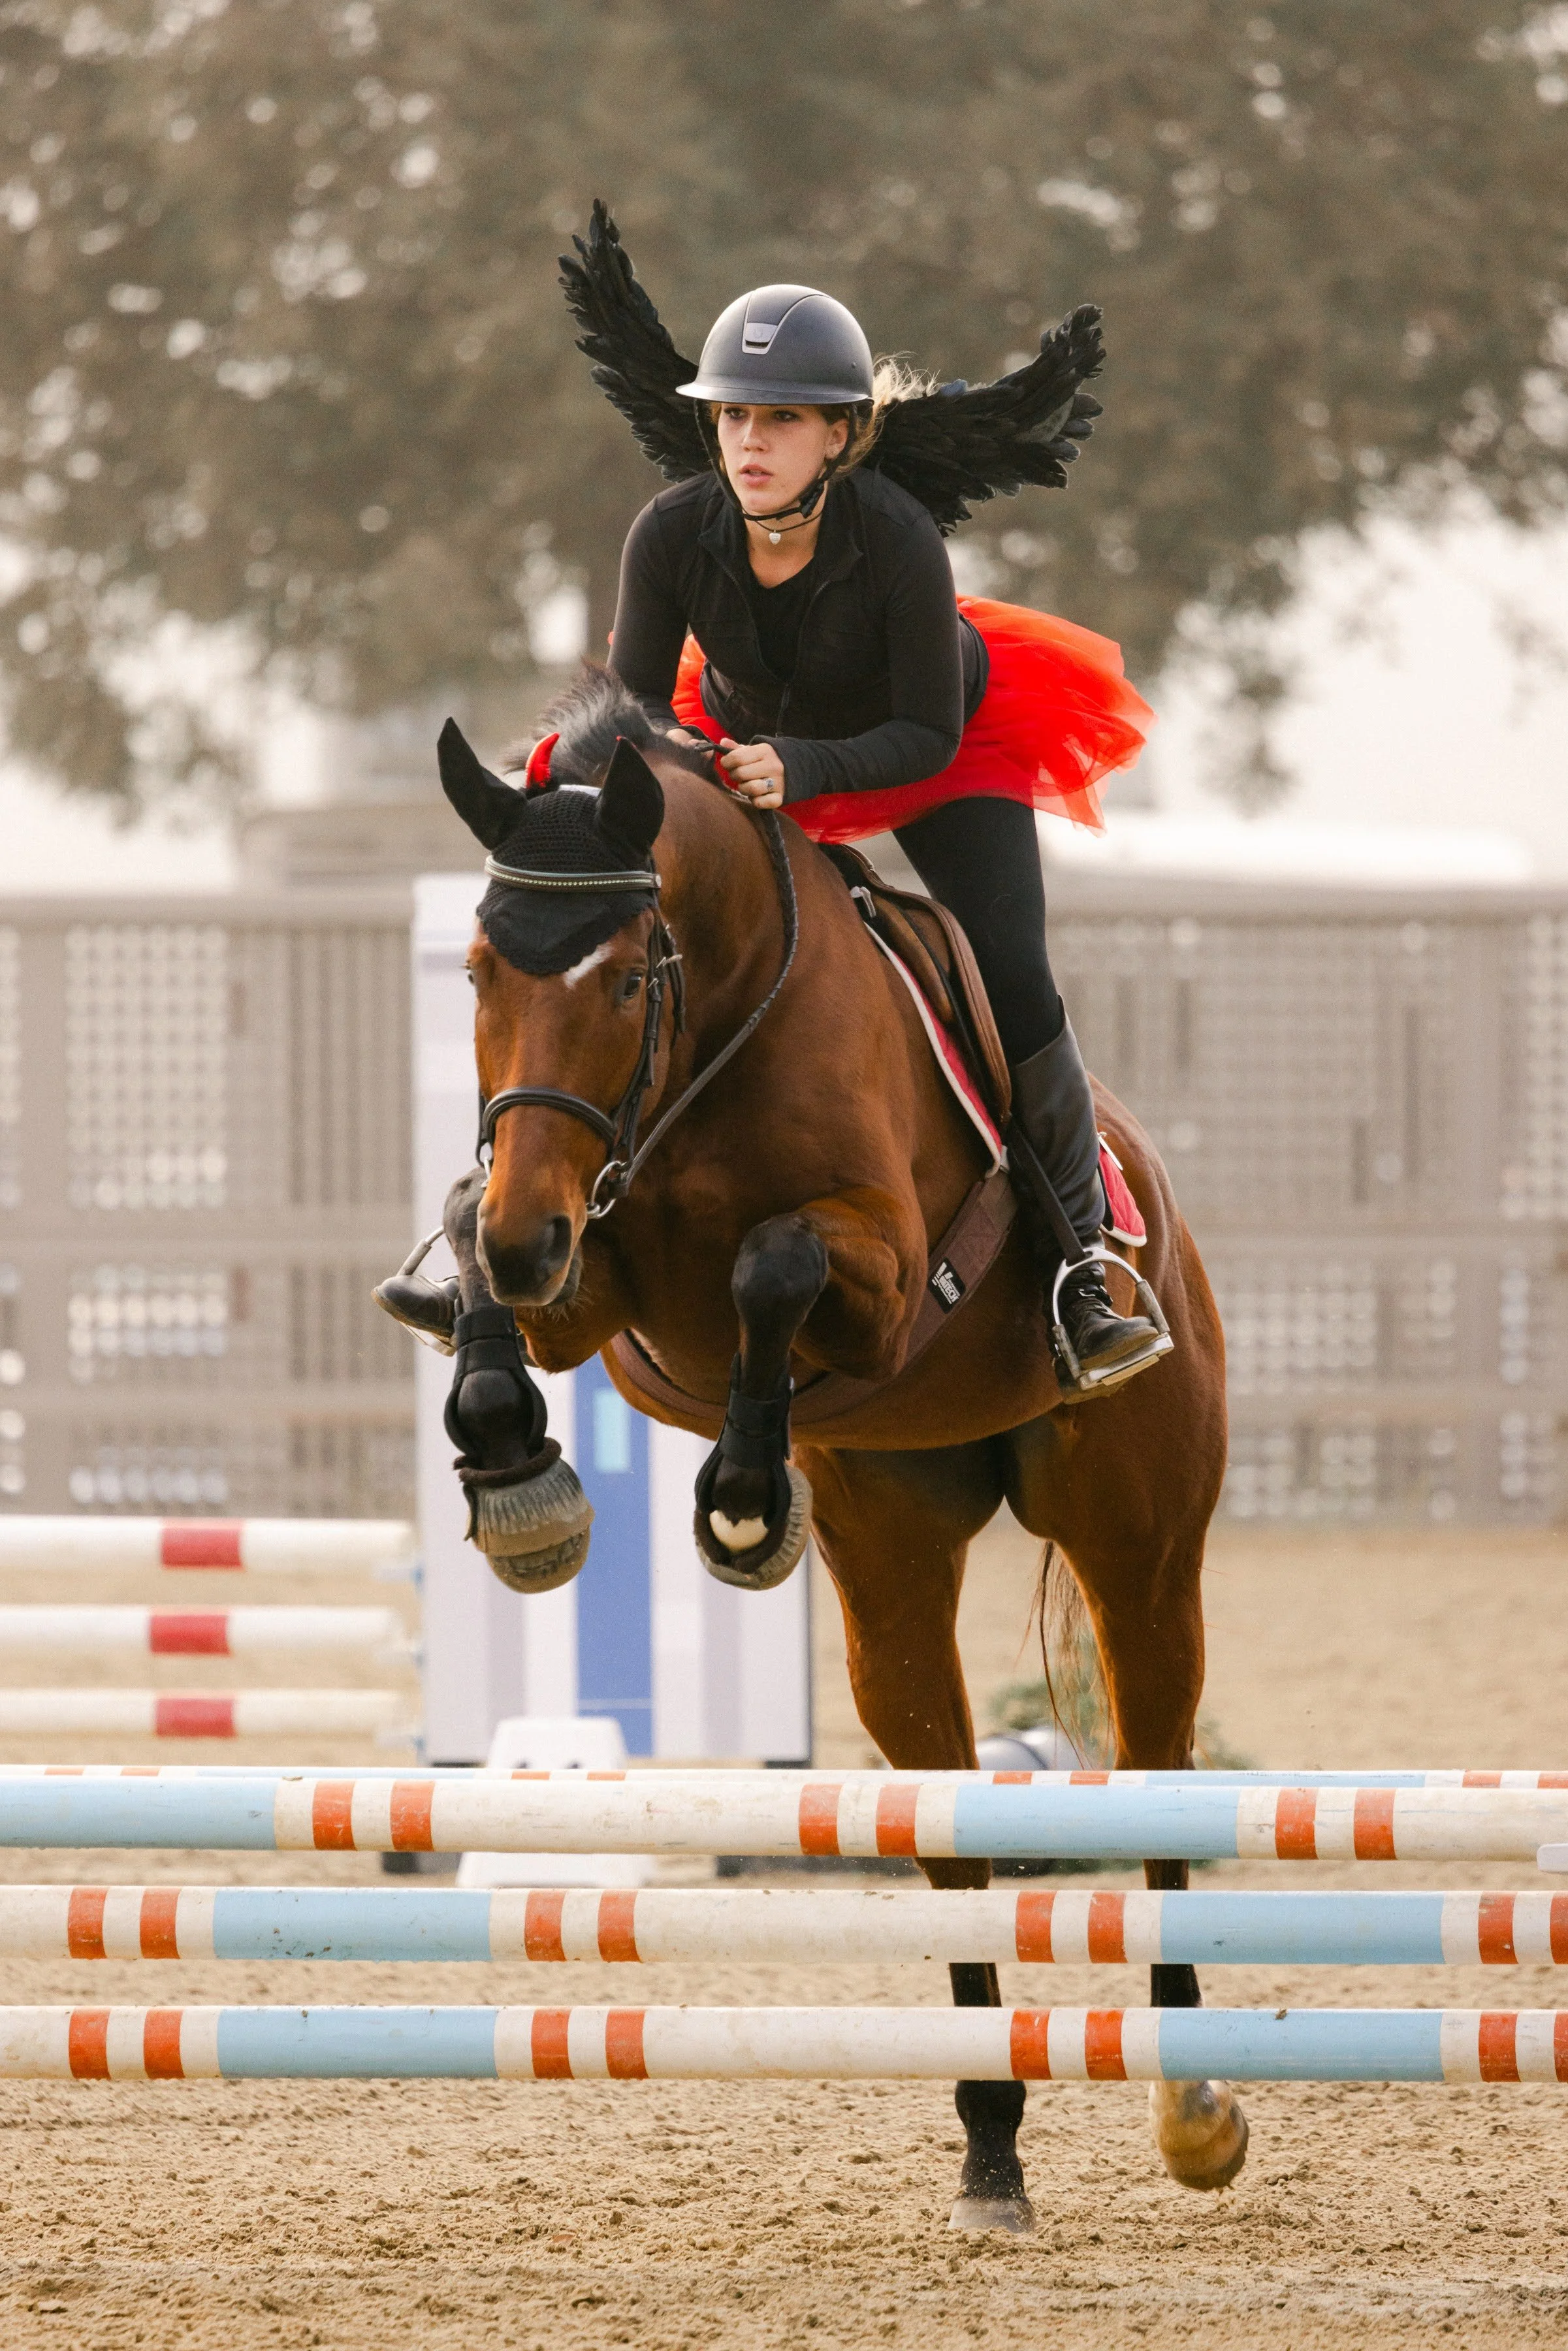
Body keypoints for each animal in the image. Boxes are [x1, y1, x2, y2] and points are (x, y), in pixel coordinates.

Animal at [429, 669, 1239, 2232]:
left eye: (627, 981)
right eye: (481, 973)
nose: (532, 1234)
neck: (713, 1029)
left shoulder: (878, 1273)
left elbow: (774, 1262)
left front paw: (744, 1502)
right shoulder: (589, 1285)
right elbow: (472, 1252)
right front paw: (519, 1477)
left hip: (1141, 1544)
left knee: (1159, 1765)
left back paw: (1193, 2108)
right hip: (897, 1575)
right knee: (946, 1828)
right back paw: (989, 2147)